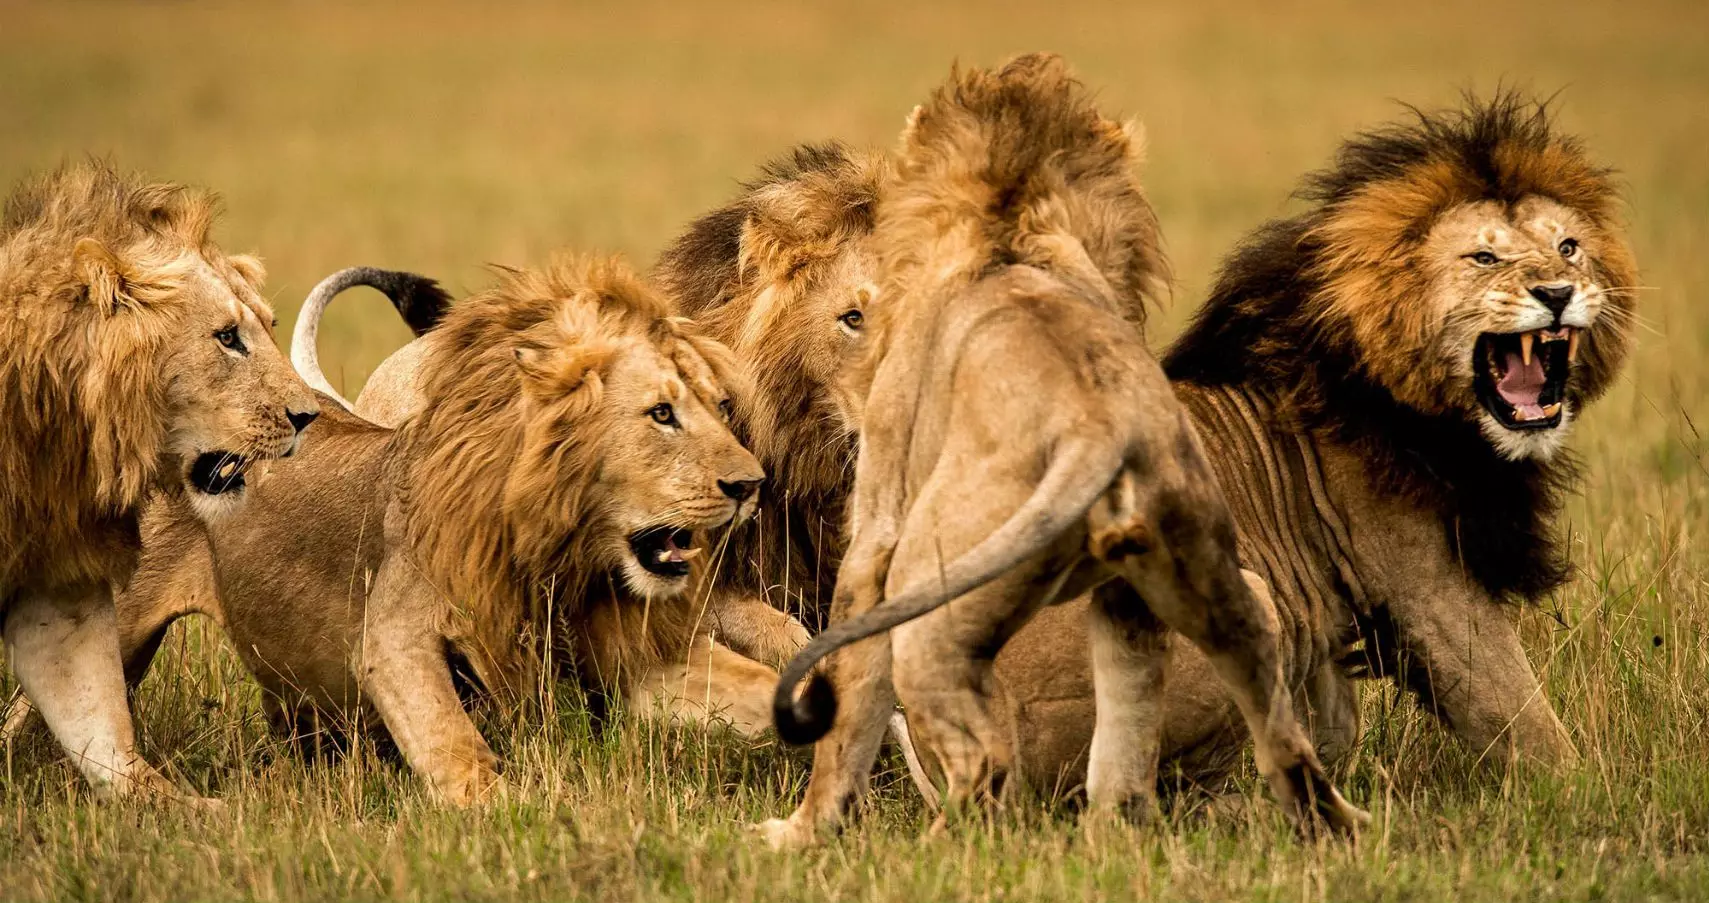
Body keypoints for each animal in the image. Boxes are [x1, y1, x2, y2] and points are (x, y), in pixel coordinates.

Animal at [71, 258, 769, 800]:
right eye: (661, 413)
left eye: (720, 406)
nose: (751, 486)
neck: (563, 553)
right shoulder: (396, 638)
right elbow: (457, 749)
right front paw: (519, 811)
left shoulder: (631, 652)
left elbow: (756, 685)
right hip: (120, 627)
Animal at [758, 56, 1360, 848]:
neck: (1008, 226)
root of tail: (1095, 426)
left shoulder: (874, 530)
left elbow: (848, 701)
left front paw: (802, 832)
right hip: (1209, 587)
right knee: (1248, 728)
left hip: (929, 596)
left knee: (983, 762)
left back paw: (934, 848)